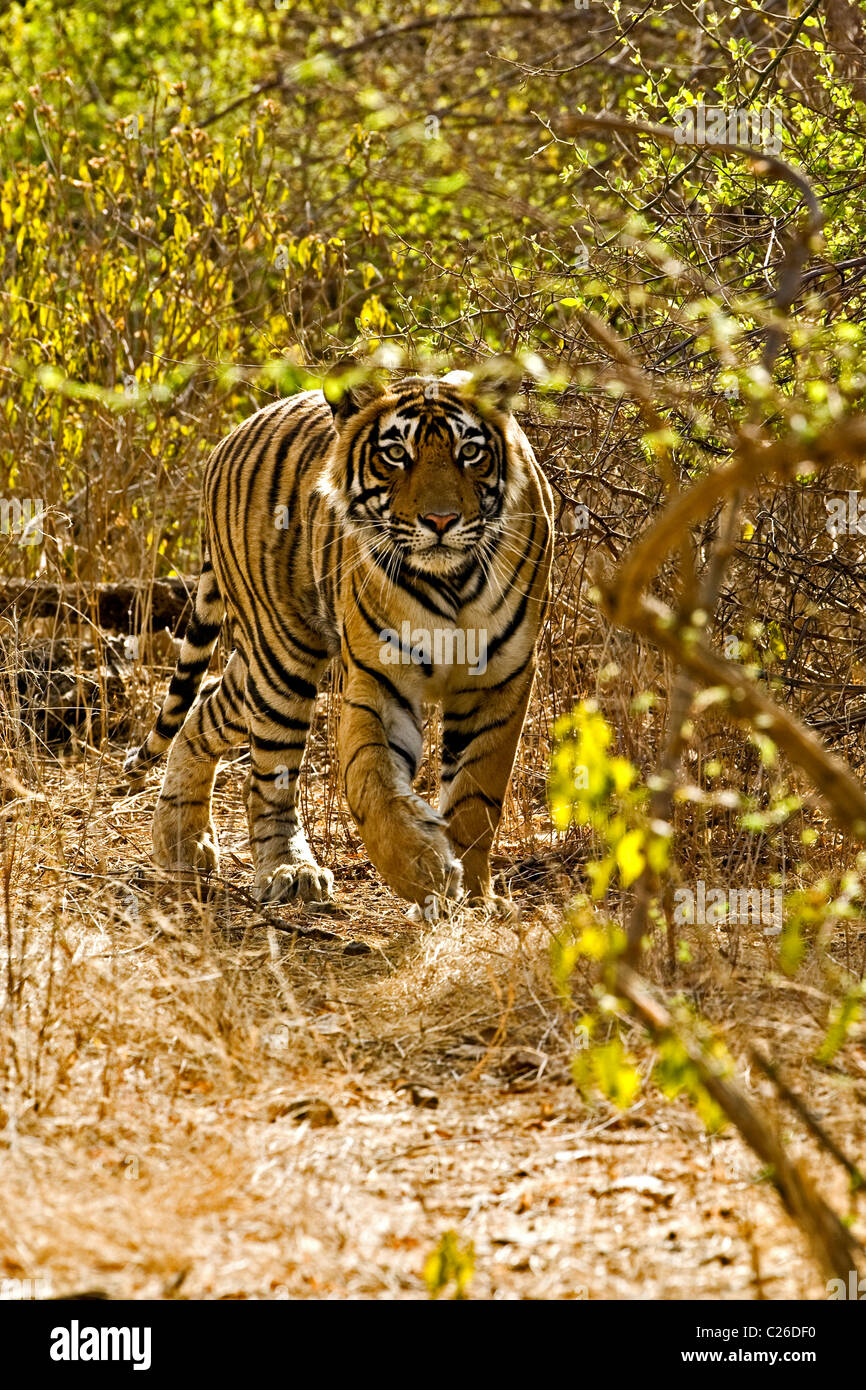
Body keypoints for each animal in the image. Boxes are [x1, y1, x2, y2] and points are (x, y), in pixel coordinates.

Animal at [122, 366, 554, 912]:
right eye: (396, 454)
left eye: (470, 452)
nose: (440, 521)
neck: (451, 581)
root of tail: (229, 436)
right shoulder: (379, 680)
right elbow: (371, 782)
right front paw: (422, 867)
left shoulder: (499, 680)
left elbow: (478, 795)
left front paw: (474, 893)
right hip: (282, 655)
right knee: (267, 778)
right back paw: (286, 869)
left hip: (263, 660)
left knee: (205, 705)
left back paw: (180, 838)